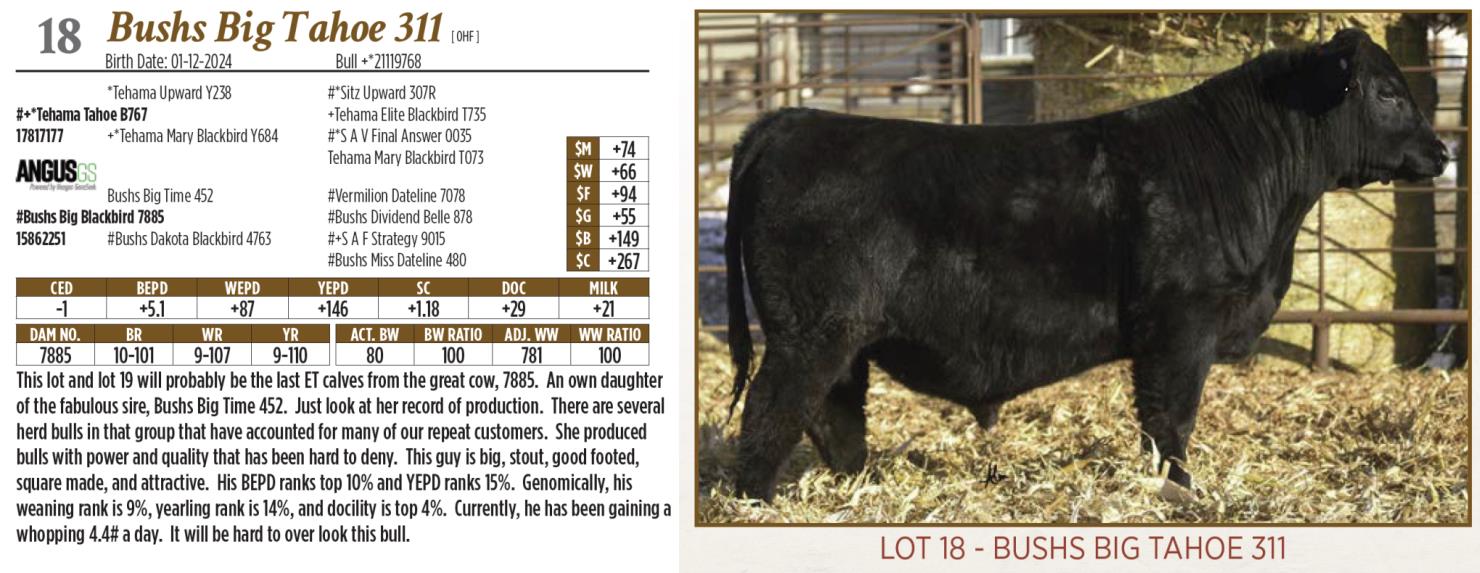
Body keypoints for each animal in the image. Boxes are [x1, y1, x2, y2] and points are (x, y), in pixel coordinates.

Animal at [723, 29, 1449, 502]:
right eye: (1388, 93)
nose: (1441, 151)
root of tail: (789, 121)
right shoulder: (1181, 320)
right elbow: (1171, 416)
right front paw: (1181, 491)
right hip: (810, 330)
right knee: (770, 410)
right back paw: (758, 499)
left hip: (842, 336)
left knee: (832, 411)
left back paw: (859, 481)